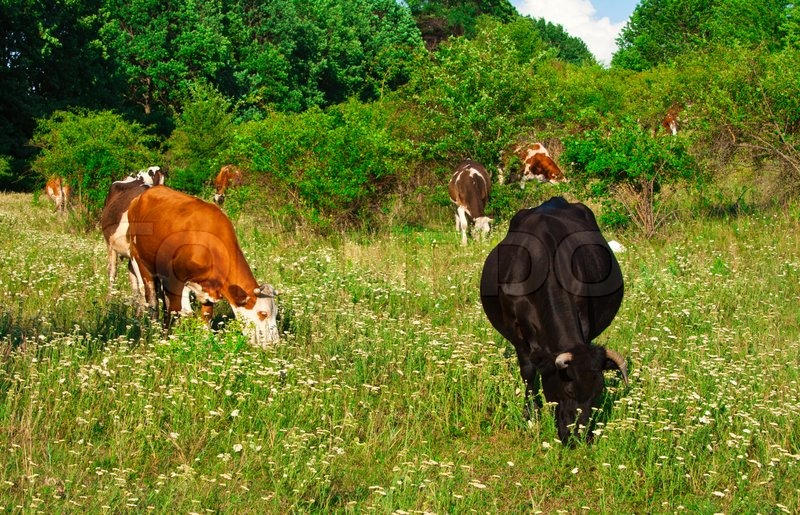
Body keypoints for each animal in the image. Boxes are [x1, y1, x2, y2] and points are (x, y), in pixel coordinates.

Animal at [127, 186, 280, 346]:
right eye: (263, 313)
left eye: (275, 313)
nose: (275, 343)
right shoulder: (175, 281)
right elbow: (173, 312)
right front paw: (165, 339)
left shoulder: (208, 289)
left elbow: (206, 316)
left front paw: (206, 342)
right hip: (139, 261)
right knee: (152, 301)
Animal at [480, 196, 628, 444]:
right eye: (569, 391)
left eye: (597, 393)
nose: (578, 437)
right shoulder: (516, 331)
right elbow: (528, 371)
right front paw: (530, 416)